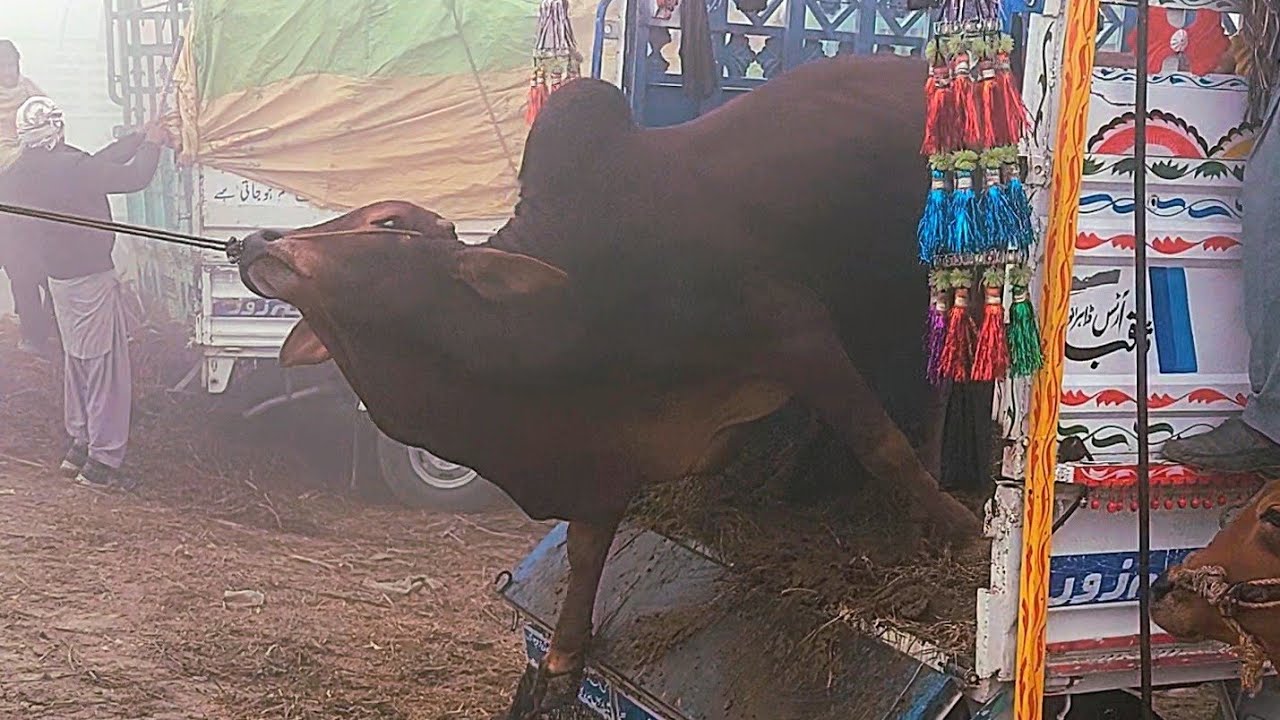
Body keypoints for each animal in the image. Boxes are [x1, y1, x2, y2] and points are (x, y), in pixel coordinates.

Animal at [234, 53, 982, 717]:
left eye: (387, 222)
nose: (253, 242)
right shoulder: (601, 452)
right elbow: (587, 549)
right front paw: (564, 660)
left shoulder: (796, 332)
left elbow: (879, 444)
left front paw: (966, 533)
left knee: (936, 389)